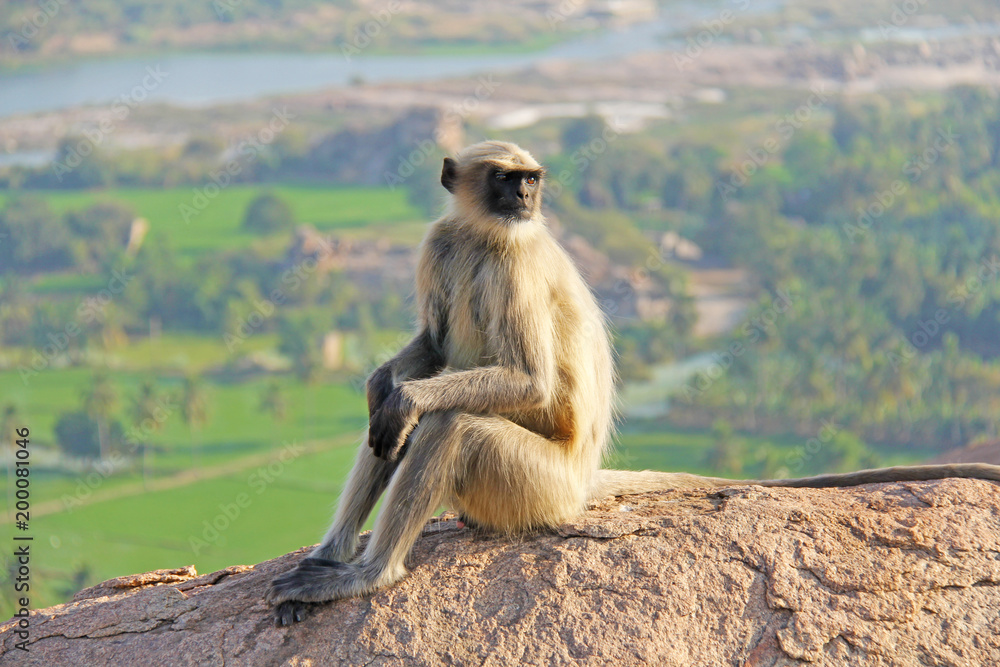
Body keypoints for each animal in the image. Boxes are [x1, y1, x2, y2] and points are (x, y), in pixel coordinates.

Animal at [267, 140, 1000, 625]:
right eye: (506, 180)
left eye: (530, 180)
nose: (527, 197)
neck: (483, 234)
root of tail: (582, 481)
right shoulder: (440, 242)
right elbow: (426, 352)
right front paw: (379, 381)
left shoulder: (516, 260)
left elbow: (524, 384)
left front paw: (407, 396)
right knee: (400, 422)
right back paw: (335, 553)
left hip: (535, 485)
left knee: (451, 423)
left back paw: (370, 574)